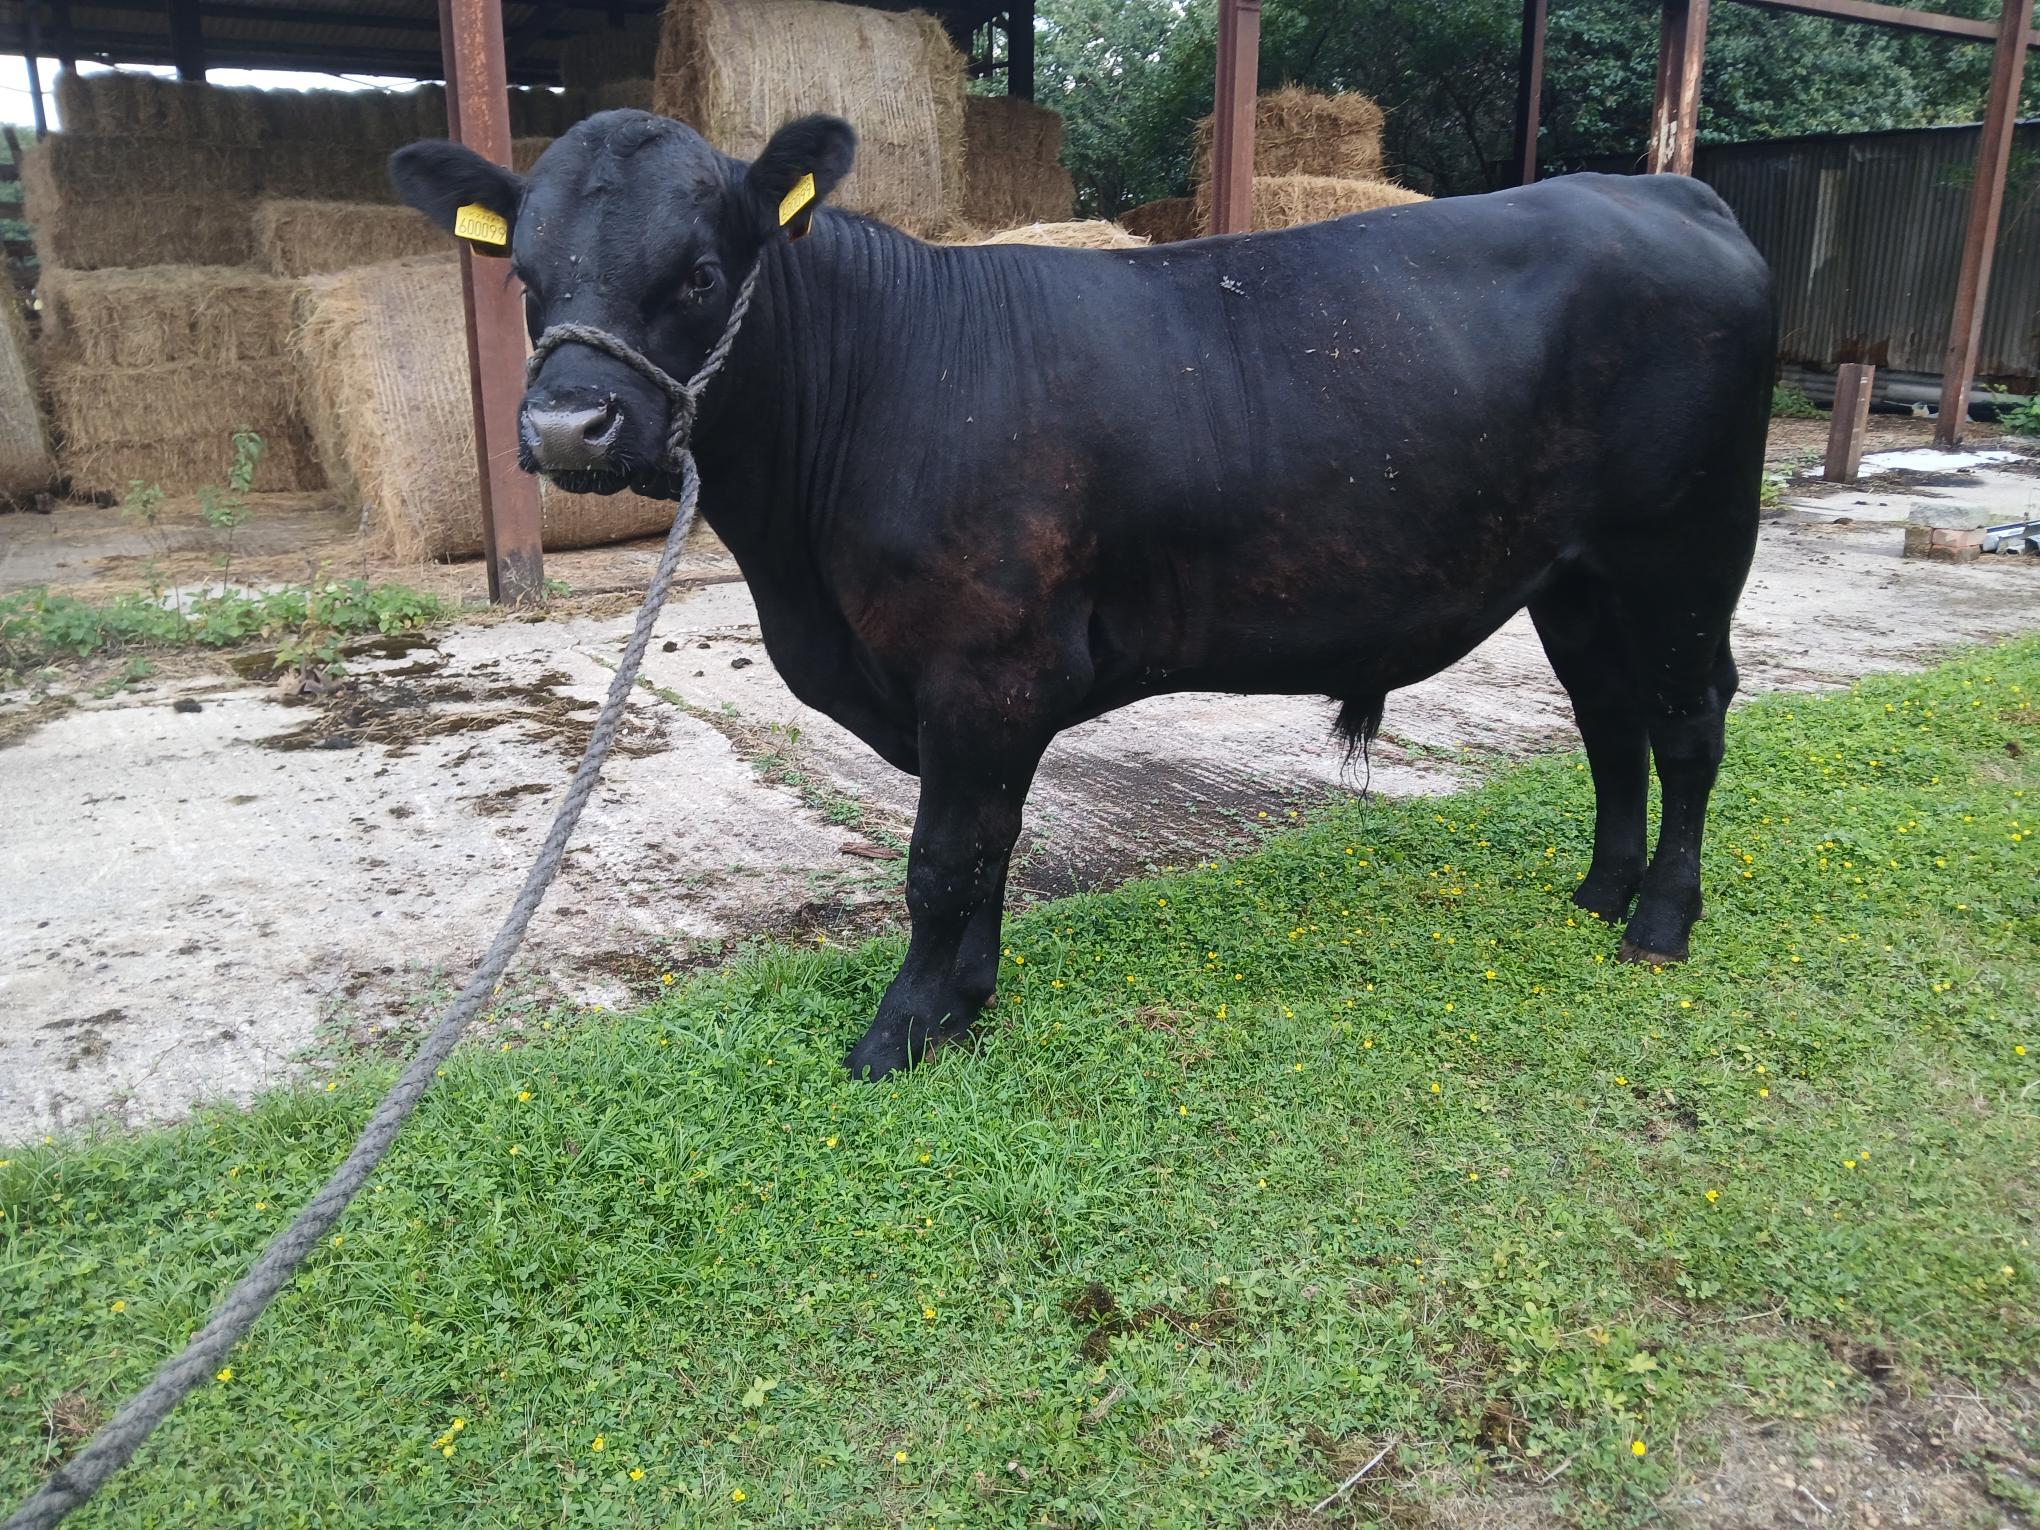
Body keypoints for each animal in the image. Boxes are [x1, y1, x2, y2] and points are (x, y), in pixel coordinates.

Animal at [391, 110, 1774, 1081]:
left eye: (695, 272)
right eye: (525, 274)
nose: (569, 426)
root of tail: (1660, 186)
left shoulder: (985, 671)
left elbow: (941, 859)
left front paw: (901, 1030)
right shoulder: (979, 697)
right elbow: (990, 847)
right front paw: (968, 1002)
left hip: (1686, 555)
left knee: (1689, 720)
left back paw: (1661, 919)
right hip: (1577, 579)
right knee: (1609, 720)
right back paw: (1599, 891)